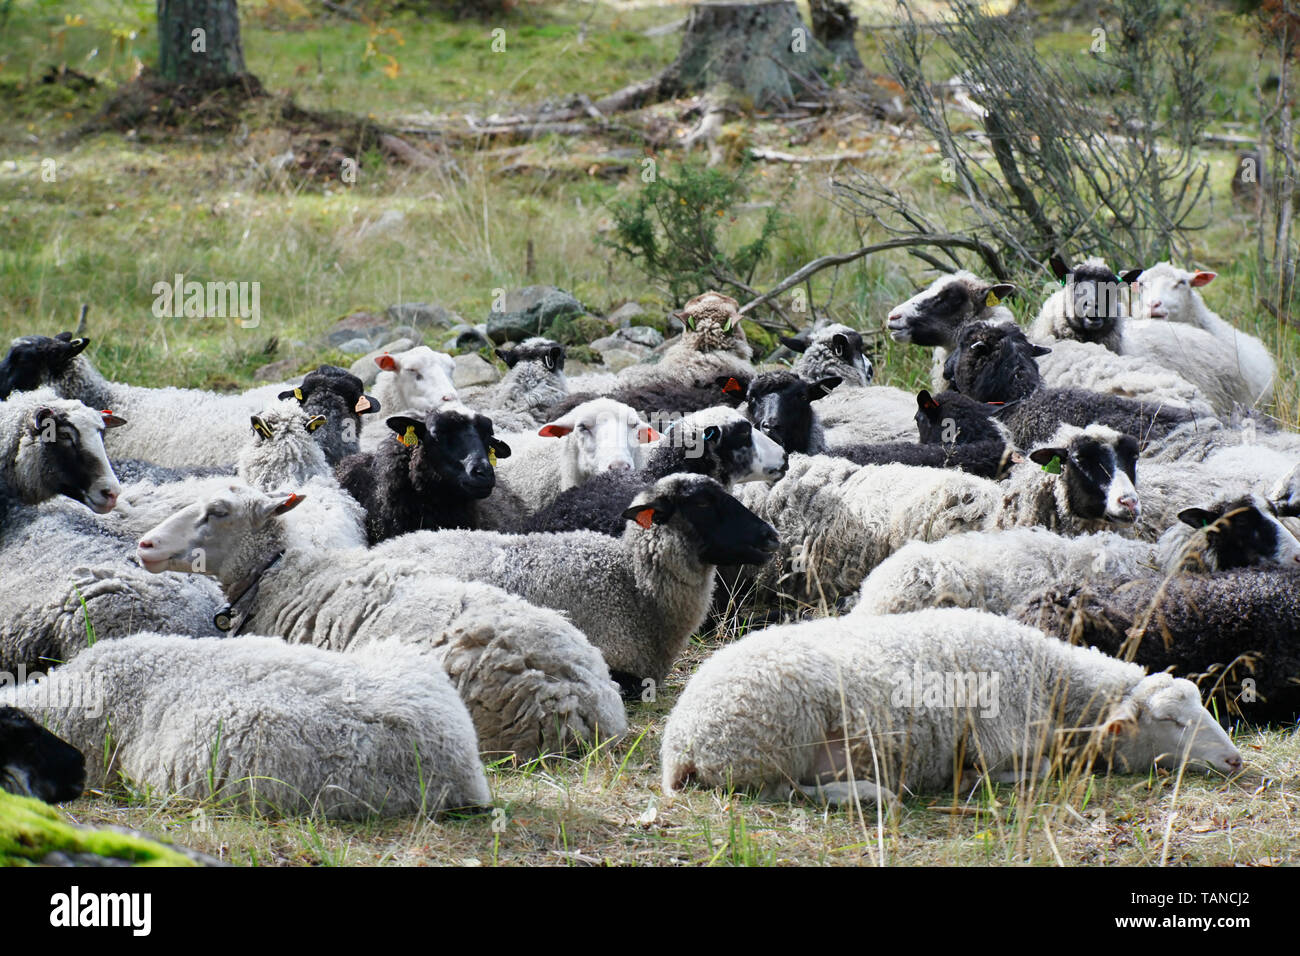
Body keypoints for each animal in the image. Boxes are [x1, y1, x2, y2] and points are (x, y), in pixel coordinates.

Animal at [661, 608, 1242, 804]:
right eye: (1170, 721)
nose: (1235, 759)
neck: (1051, 680)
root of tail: (680, 744)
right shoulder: (996, 741)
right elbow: (1035, 768)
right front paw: (971, 783)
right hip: (773, 743)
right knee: (785, 791)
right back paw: (865, 793)